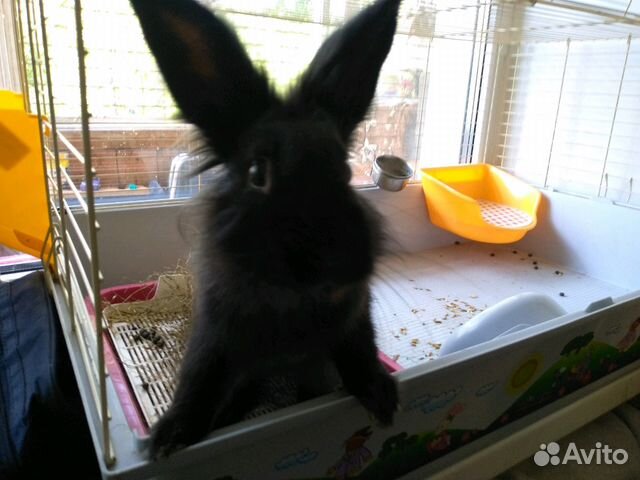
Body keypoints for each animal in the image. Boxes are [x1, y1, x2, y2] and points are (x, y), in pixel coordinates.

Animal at [130, 0, 401, 458]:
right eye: (257, 173)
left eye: (344, 171)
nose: (334, 261)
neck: (292, 297)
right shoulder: (214, 338)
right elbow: (199, 380)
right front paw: (169, 438)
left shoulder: (353, 319)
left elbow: (360, 351)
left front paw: (383, 398)